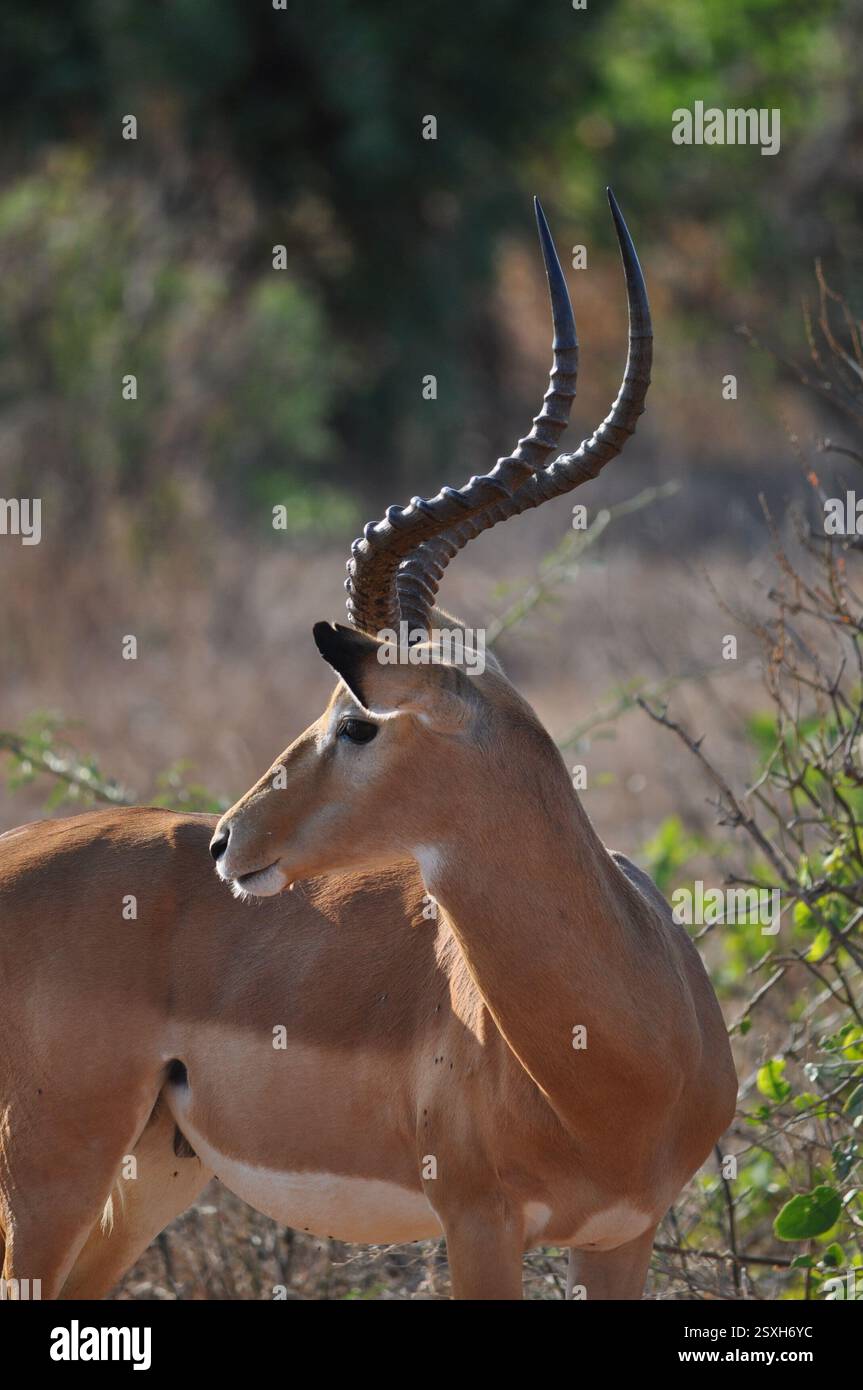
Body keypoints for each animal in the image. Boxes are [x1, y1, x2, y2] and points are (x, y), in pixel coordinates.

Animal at [0, 192, 737, 1301]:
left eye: (356, 720)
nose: (226, 842)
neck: (623, 1039)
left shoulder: (621, 1233)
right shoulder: (478, 1224)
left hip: (149, 1178)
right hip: (51, 1167)